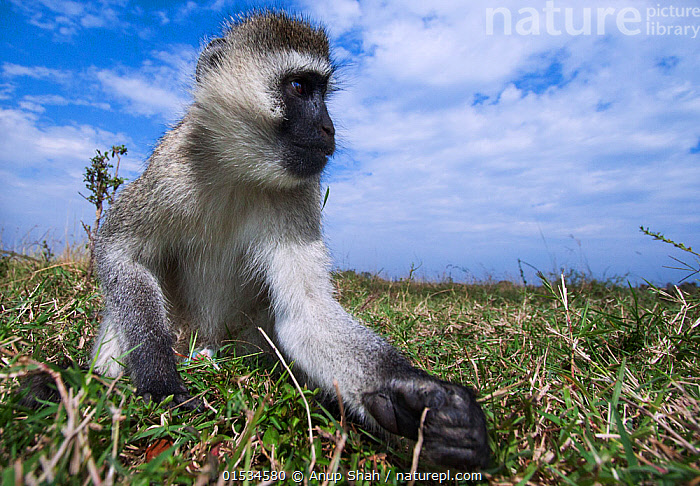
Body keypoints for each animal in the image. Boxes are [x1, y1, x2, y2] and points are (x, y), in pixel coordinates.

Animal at [86, 11, 490, 470]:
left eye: (324, 92)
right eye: (299, 87)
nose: (328, 127)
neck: (239, 172)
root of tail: (208, 344)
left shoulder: (298, 195)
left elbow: (306, 313)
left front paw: (416, 397)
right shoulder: (170, 170)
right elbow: (120, 252)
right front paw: (159, 379)